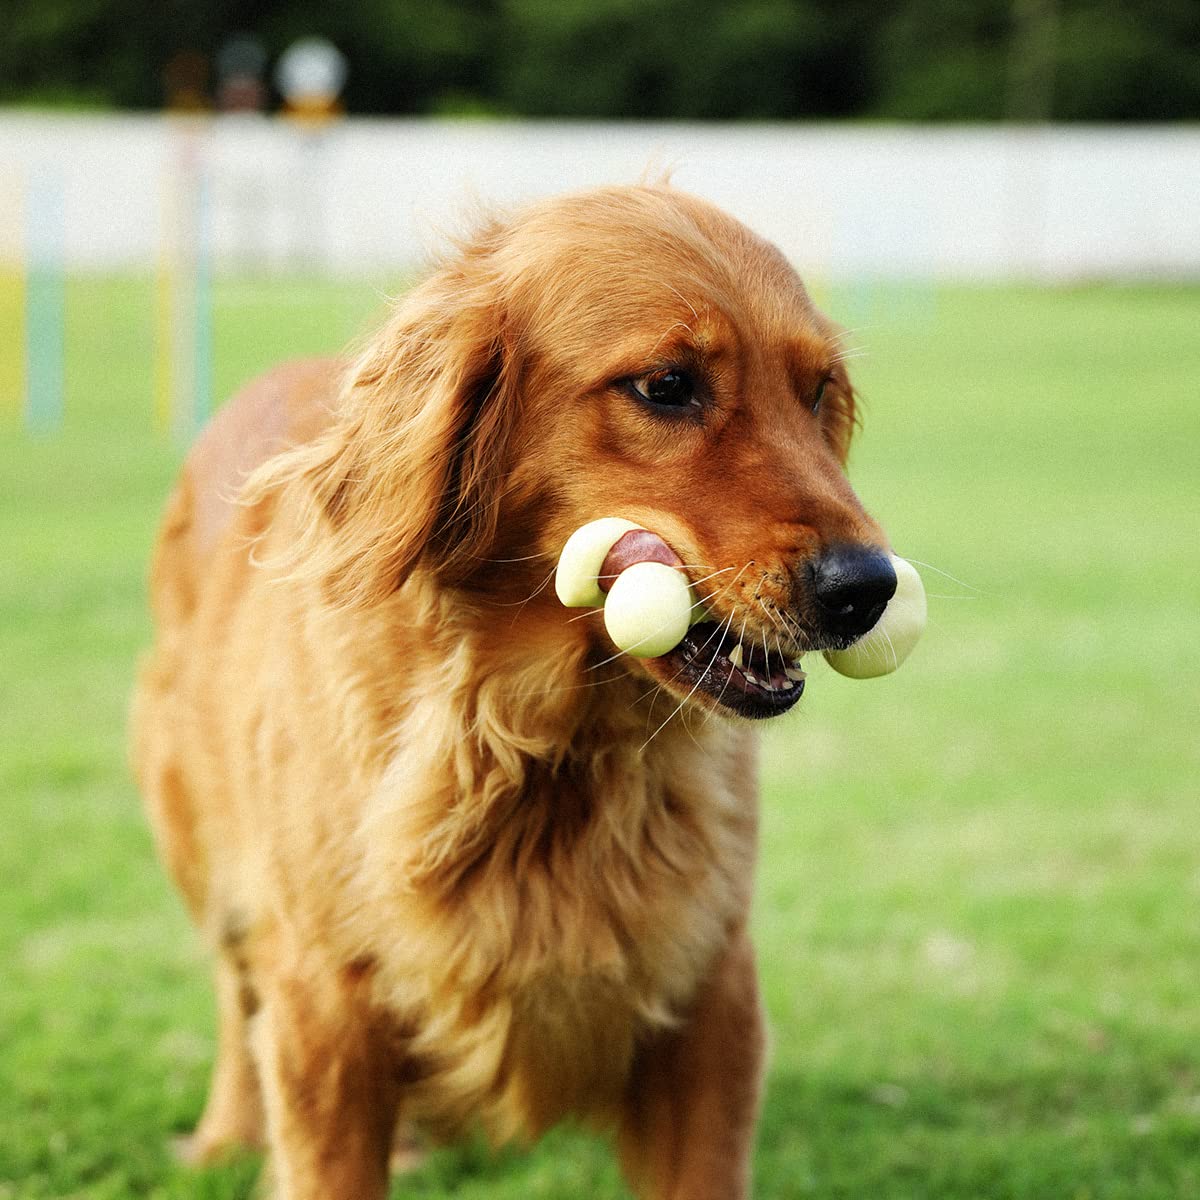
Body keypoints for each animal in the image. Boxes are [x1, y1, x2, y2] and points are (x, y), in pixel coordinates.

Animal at [131, 182, 902, 1195]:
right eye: (667, 386)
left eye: (816, 392)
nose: (868, 588)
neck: (543, 746)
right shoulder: (326, 1008)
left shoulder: (709, 998)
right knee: (234, 989)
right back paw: (223, 1134)